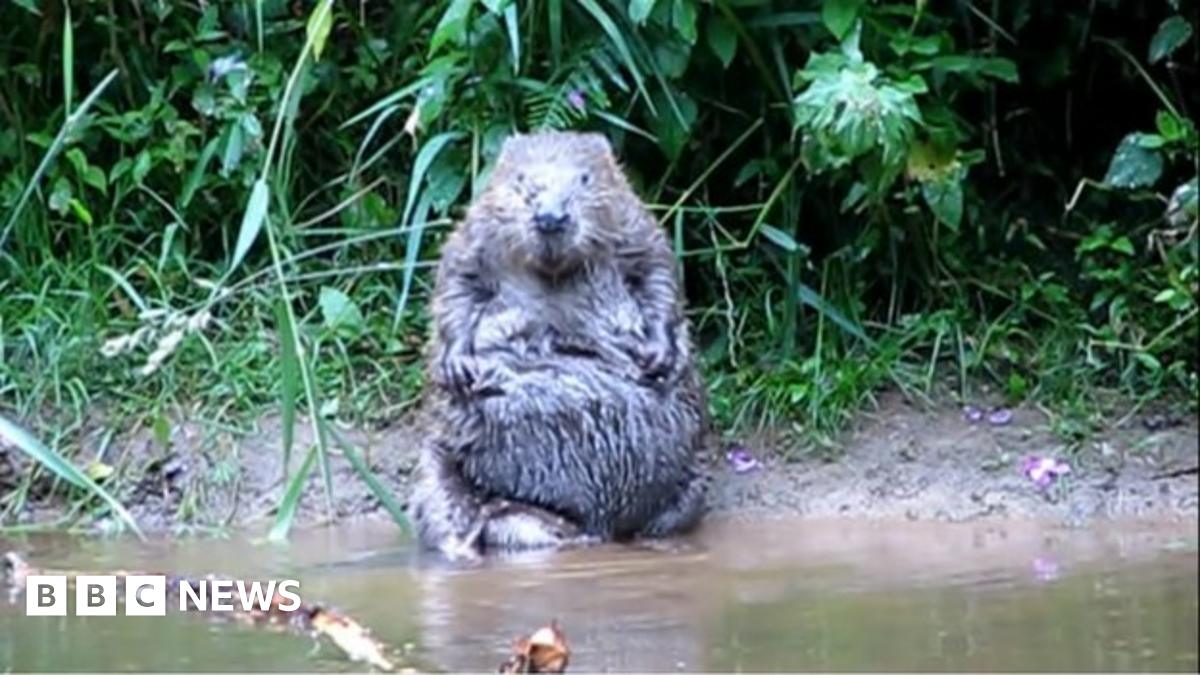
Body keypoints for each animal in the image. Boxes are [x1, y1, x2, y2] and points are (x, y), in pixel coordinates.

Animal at [408, 131, 711, 559]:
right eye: (521, 180)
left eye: (584, 178)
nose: (550, 218)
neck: (553, 274)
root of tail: (599, 524)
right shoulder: (472, 235)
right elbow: (454, 285)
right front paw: (460, 367)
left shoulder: (635, 224)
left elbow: (659, 273)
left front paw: (656, 357)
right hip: (440, 468)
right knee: (450, 511)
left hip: (694, 475)